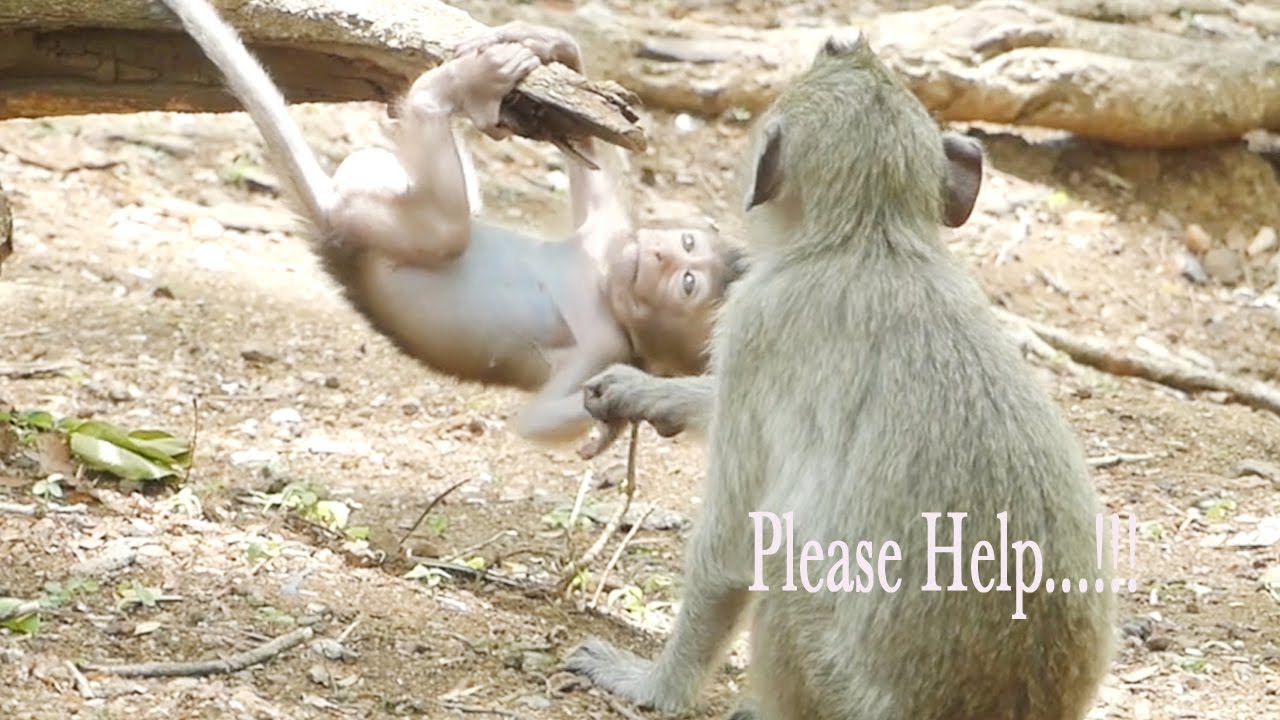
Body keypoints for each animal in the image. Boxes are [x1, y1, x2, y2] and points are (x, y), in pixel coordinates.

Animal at [155, 0, 748, 449]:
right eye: (685, 242)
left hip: (381, 230)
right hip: (374, 186)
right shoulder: (607, 240)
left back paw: (445, 92)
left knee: (446, 231)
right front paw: (560, 48)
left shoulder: (603, 347)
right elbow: (594, 175)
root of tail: (334, 233)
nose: (659, 255)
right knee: (399, 175)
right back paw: (467, 94)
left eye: (686, 283)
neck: (604, 283)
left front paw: (622, 412)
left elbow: (539, 422)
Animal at [564, 31, 1114, 720]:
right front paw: (642, 391)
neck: (870, 235)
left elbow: (734, 542)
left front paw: (654, 684)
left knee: (781, 566)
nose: (846, 42)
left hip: (834, 682)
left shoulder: (755, 324)